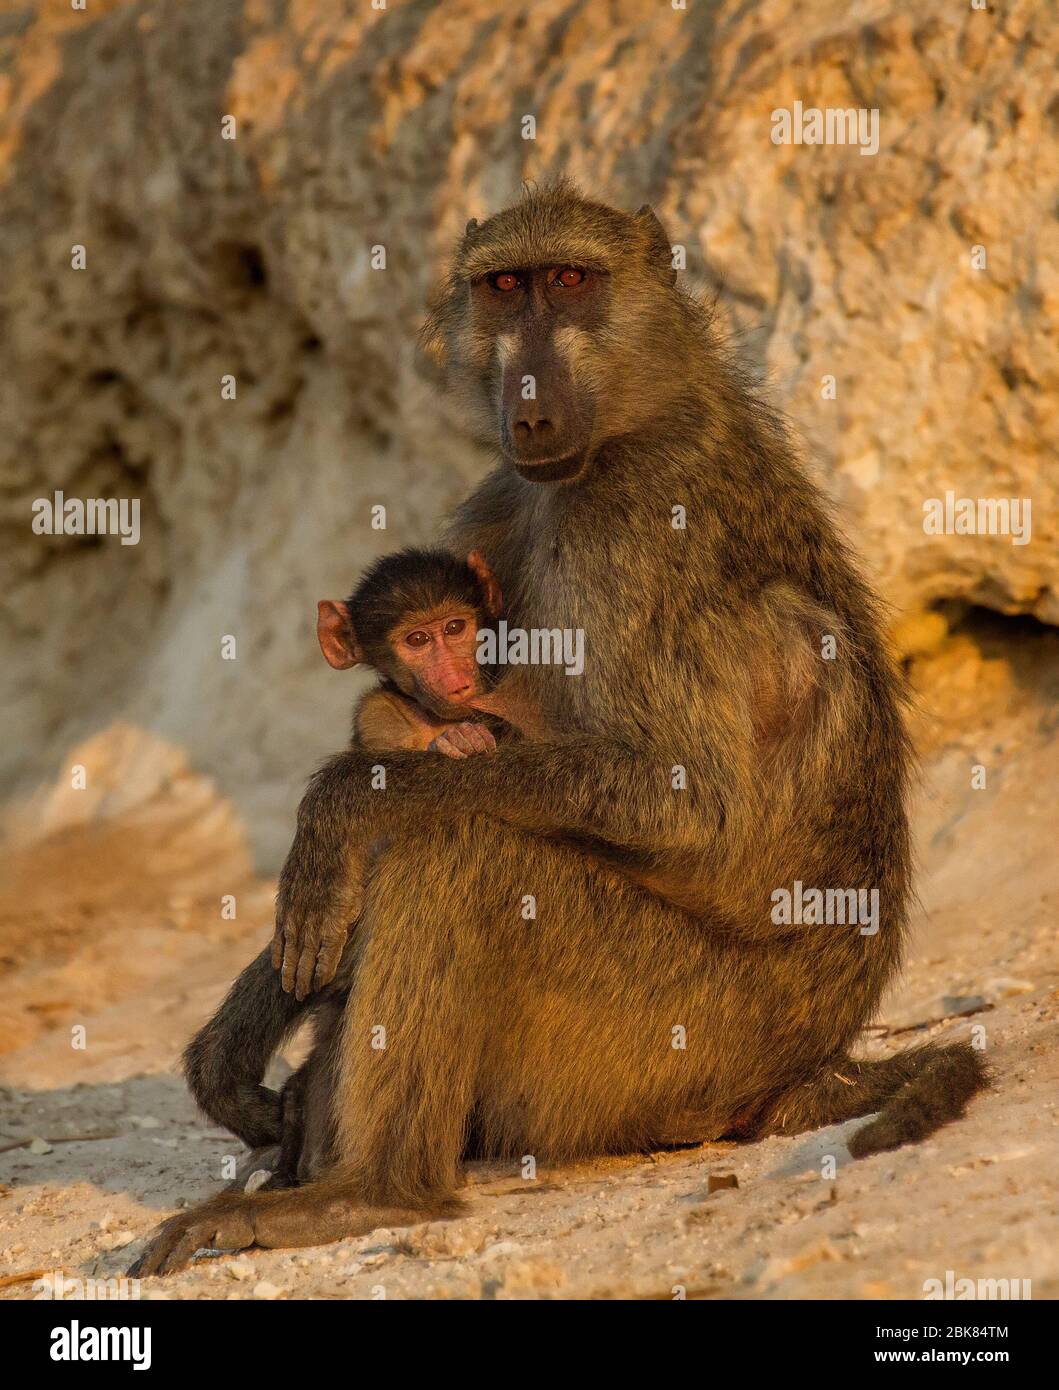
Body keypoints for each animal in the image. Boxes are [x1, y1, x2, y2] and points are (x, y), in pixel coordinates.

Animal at [133, 182, 986, 1276]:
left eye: (572, 281)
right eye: (506, 289)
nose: (529, 404)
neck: (628, 420)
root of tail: (808, 1065)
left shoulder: (639, 524)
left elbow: (685, 800)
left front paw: (330, 811)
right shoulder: (503, 497)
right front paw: (234, 1045)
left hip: (676, 1039)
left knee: (462, 848)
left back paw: (375, 1192)